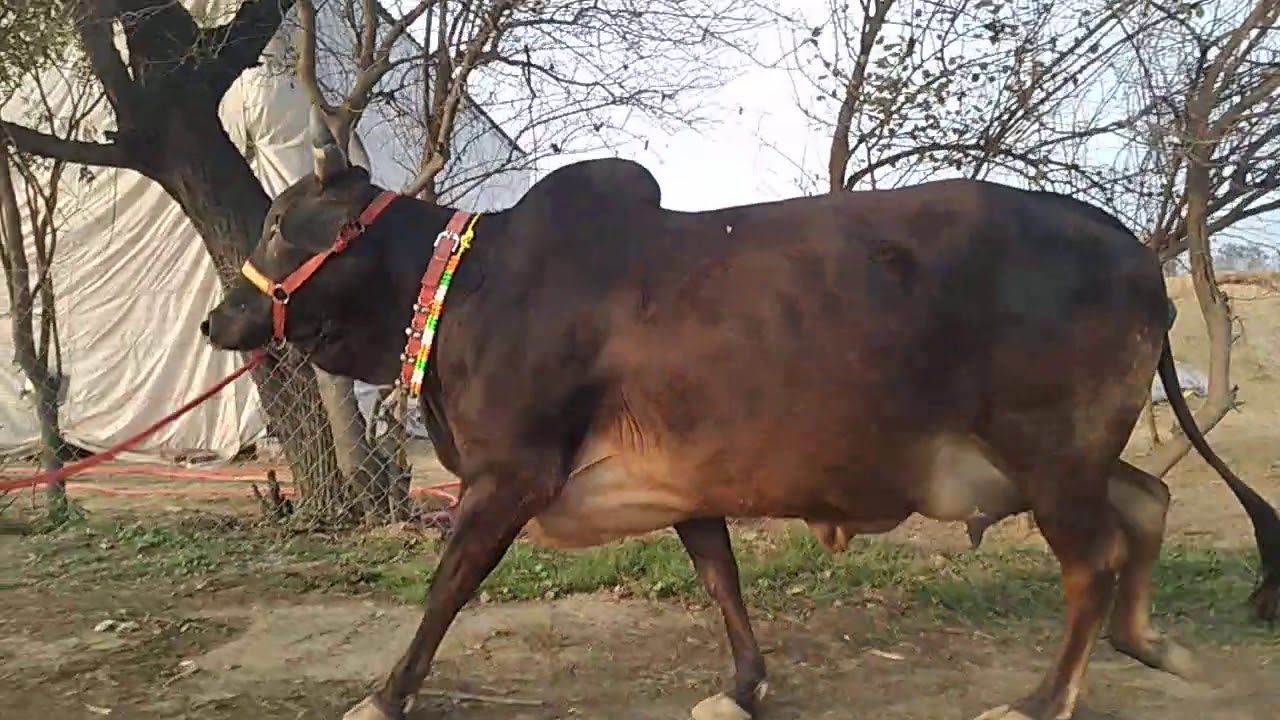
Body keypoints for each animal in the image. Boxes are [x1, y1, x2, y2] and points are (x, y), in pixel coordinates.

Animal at [202, 109, 1280, 720]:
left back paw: (1041, 701)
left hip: (1051, 452)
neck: (465, 286)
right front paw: (742, 686)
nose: (219, 318)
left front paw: (384, 695)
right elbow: (720, 578)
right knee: (1144, 504)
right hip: (1062, 458)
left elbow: (444, 590)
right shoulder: (684, 480)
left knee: (1092, 559)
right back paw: (1152, 643)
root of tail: (1136, 253)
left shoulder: (508, 473)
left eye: (278, 221)